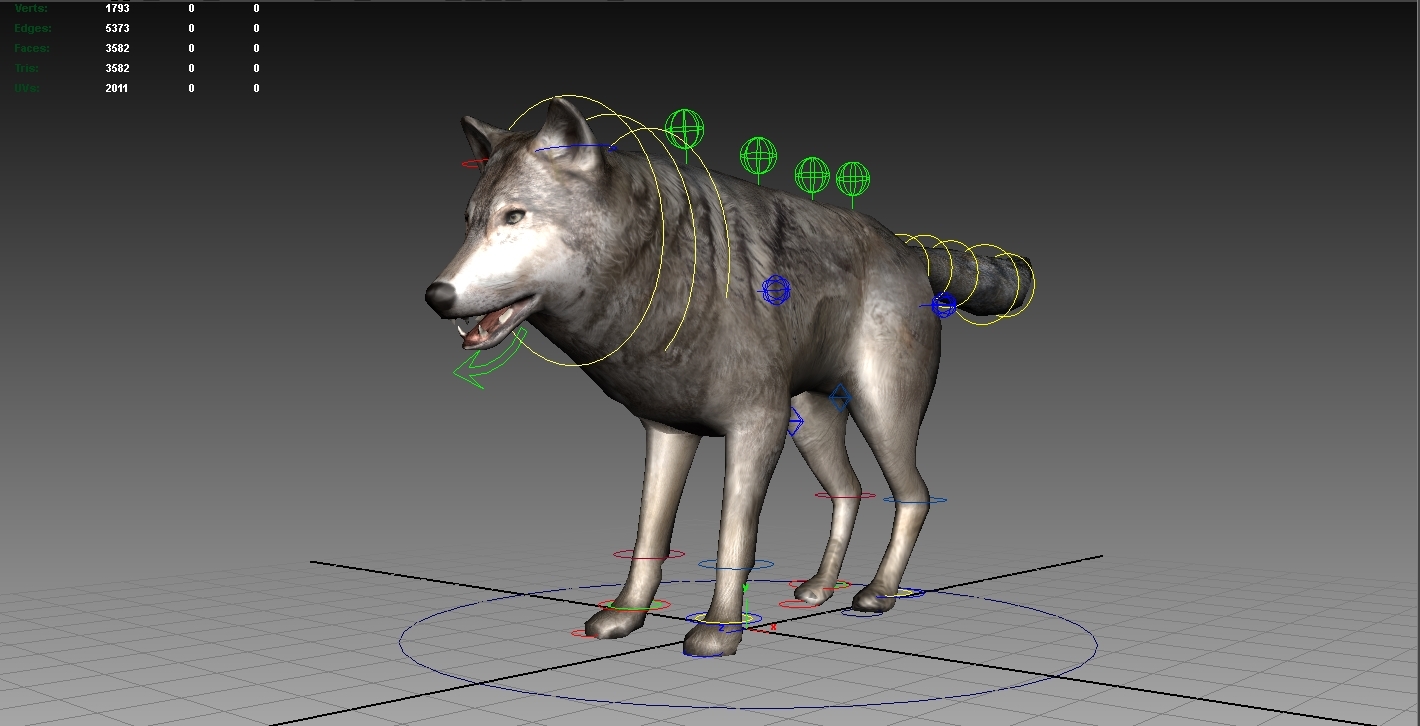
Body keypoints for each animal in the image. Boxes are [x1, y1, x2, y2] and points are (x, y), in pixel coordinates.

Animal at [425, 98, 1033, 657]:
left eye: (514, 216)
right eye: (469, 220)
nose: (436, 296)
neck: (661, 273)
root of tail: (908, 249)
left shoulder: (754, 426)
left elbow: (733, 537)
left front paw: (719, 630)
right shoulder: (668, 429)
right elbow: (650, 534)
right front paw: (625, 615)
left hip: (878, 411)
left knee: (915, 495)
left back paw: (877, 593)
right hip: (809, 423)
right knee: (849, 490)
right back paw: (820, 587)